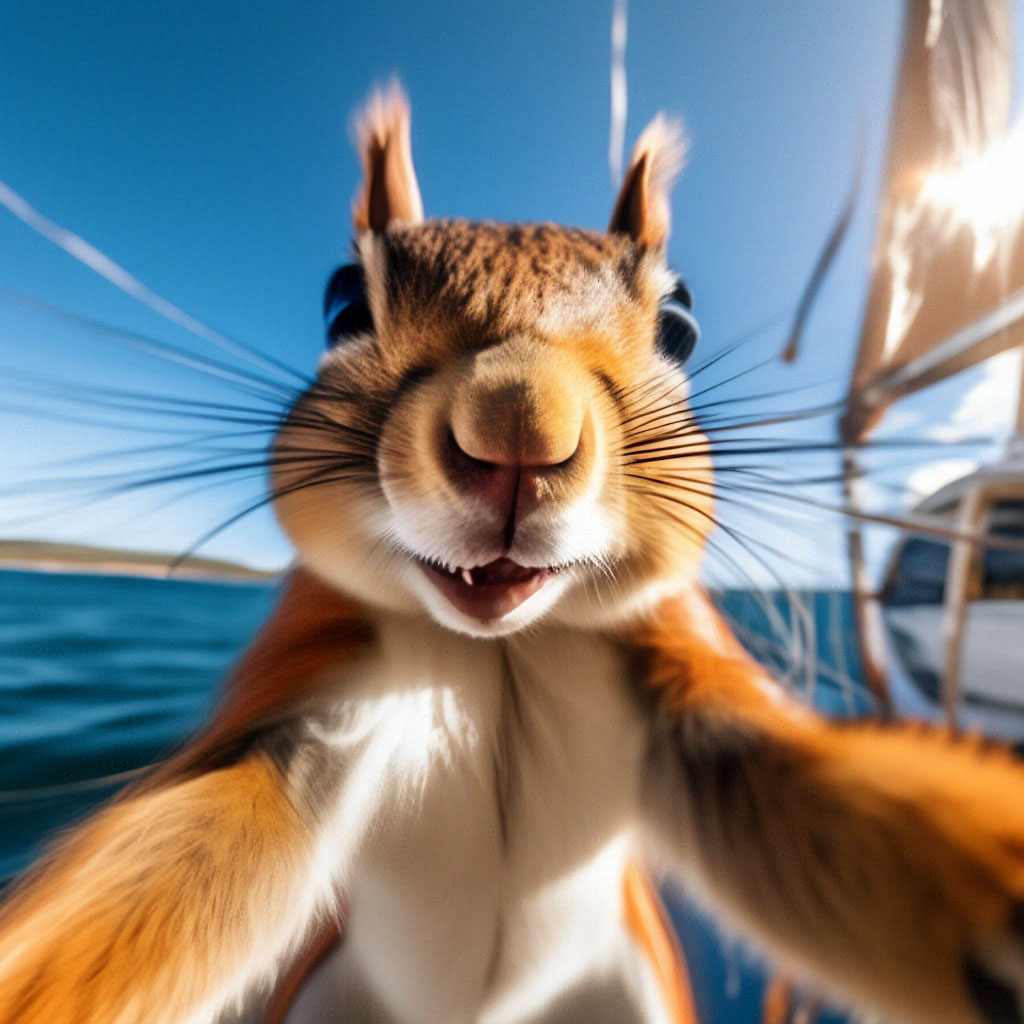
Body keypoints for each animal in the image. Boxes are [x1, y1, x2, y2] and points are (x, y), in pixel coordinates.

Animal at [2, 83, 1024, 1024]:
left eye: (682, 323)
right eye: (341, 303)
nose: (518, 427)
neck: (506, 654)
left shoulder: (685, 680)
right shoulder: (310, 694)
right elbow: (167, 867)